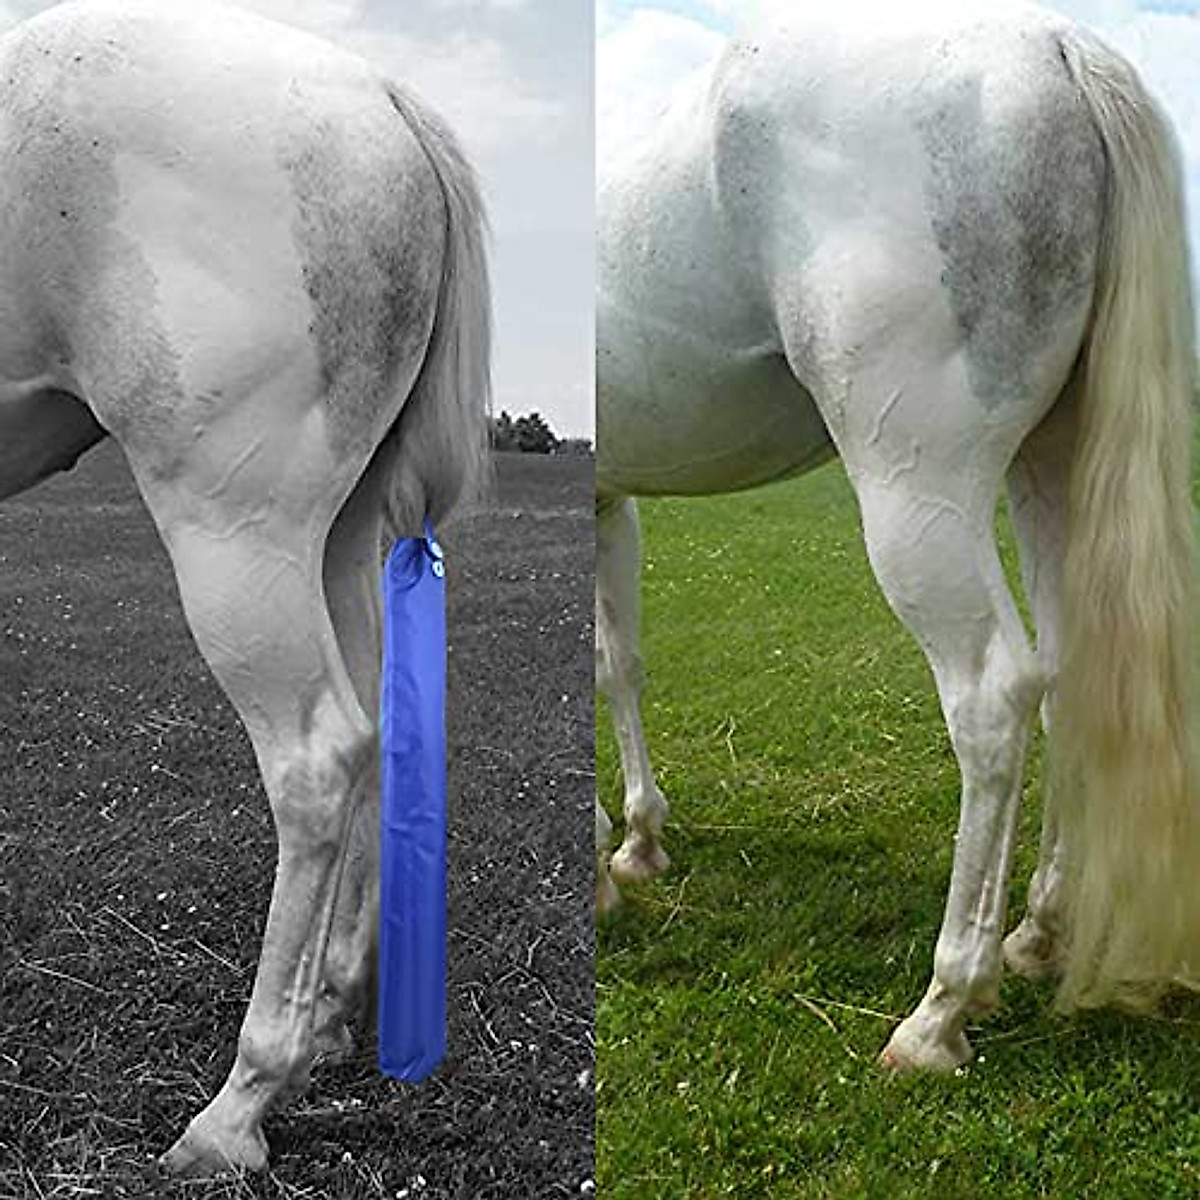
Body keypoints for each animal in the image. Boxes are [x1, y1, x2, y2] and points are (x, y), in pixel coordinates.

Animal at [0, 0, 489, 1176]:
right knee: (379, 729)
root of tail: (382, 100)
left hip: (236, 537)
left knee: (317, 758)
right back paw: (333, 1015)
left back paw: (240, 1104)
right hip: (335, 540)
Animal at [596, 0, 1200, 1073]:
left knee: (993, 697)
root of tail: (1058, 47)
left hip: (920, 498)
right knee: (1070, 679)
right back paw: (1039, 935)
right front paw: (639, 843)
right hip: (1049, 476)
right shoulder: (607, 500)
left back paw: (941, 1011)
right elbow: (616, 663)